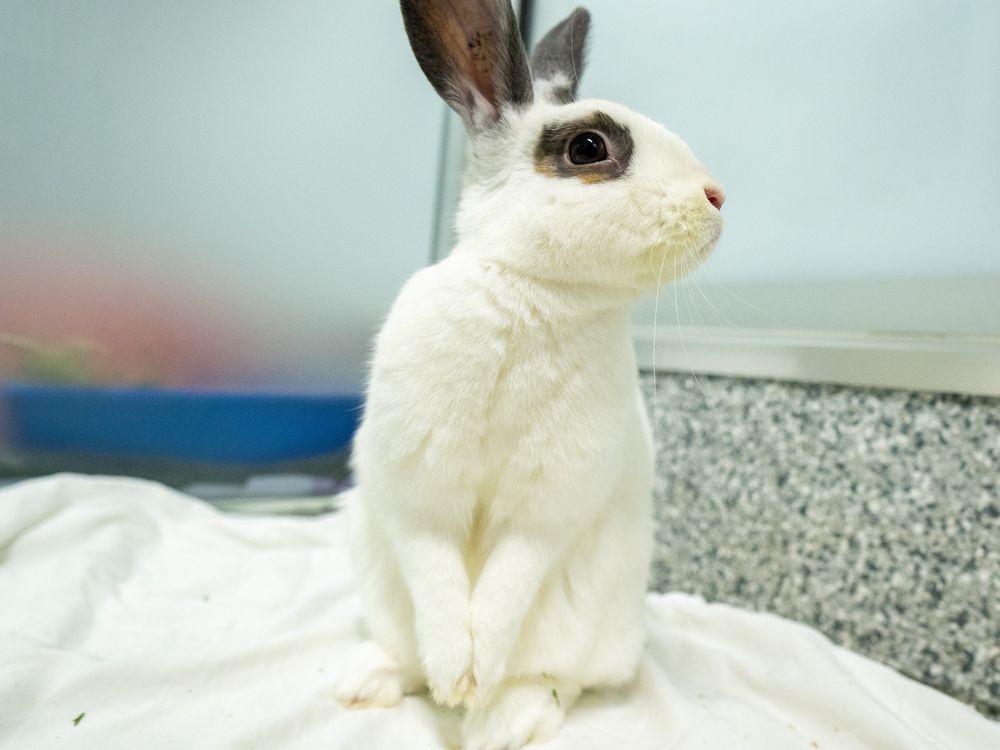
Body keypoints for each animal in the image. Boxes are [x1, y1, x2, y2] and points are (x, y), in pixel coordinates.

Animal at [334, 2, 725, 748]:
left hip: (595, 635)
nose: (718, 196)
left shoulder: (549, 508)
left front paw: (474, 677)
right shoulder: (415, 490)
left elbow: (510, 582)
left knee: (558, 680)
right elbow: (435, 571)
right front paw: (454, 674)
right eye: (588, 148)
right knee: (406, 657)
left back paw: (502, 720)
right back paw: (364, 684)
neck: (534, 291)